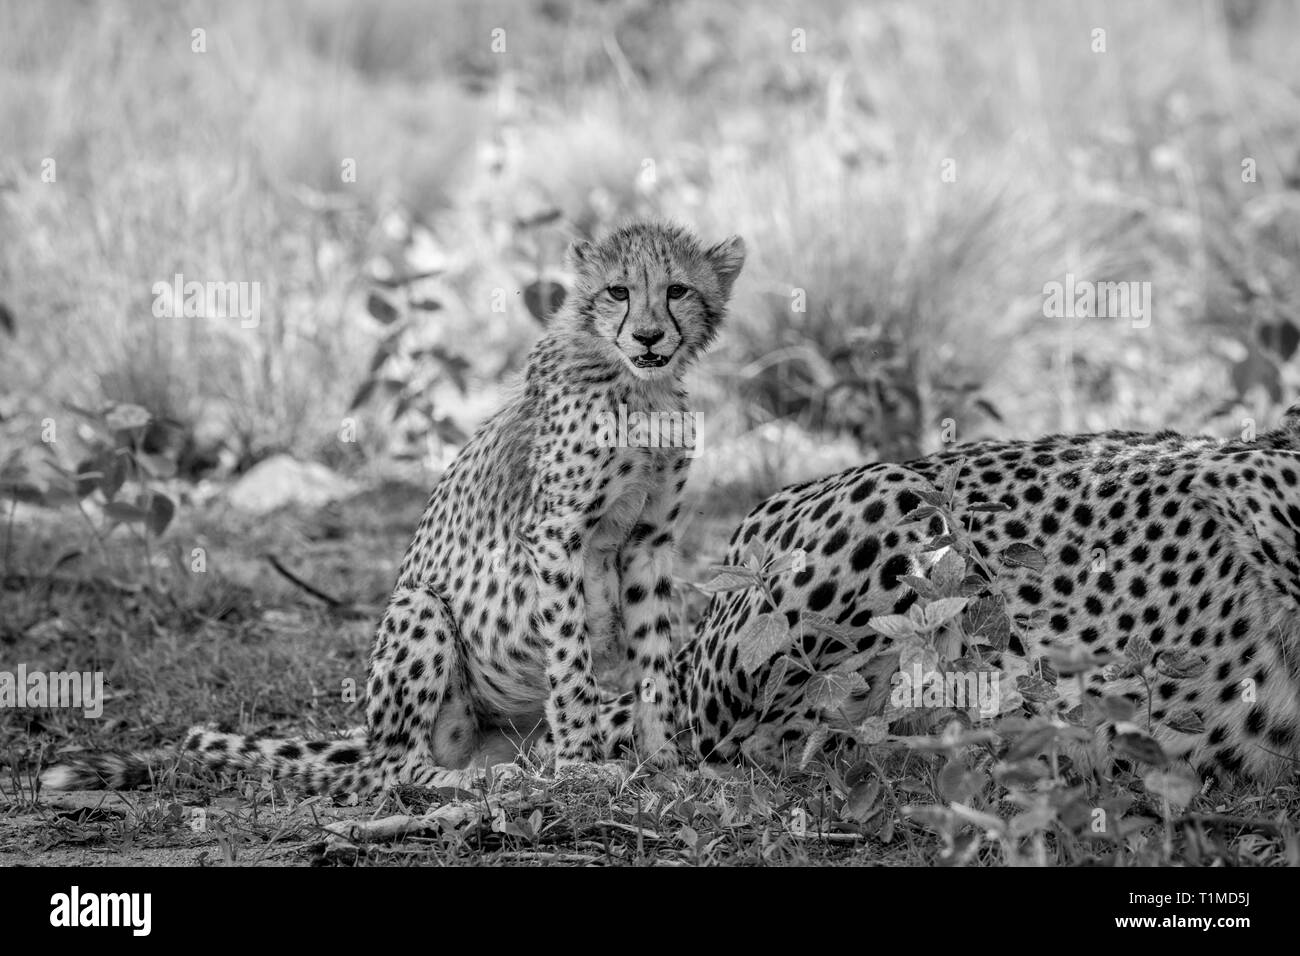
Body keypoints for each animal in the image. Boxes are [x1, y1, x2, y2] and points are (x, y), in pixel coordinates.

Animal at [41, 220, 746, 796]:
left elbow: (655, 657)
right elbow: (571, 660)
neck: (642, 388)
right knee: (391, 770)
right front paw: (583, 765)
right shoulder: (556, 534)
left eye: (677, 290)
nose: (649, 336)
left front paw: (665, 762)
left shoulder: (649, 540)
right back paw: (468, 782)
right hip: (420, 608)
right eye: (619, 291)